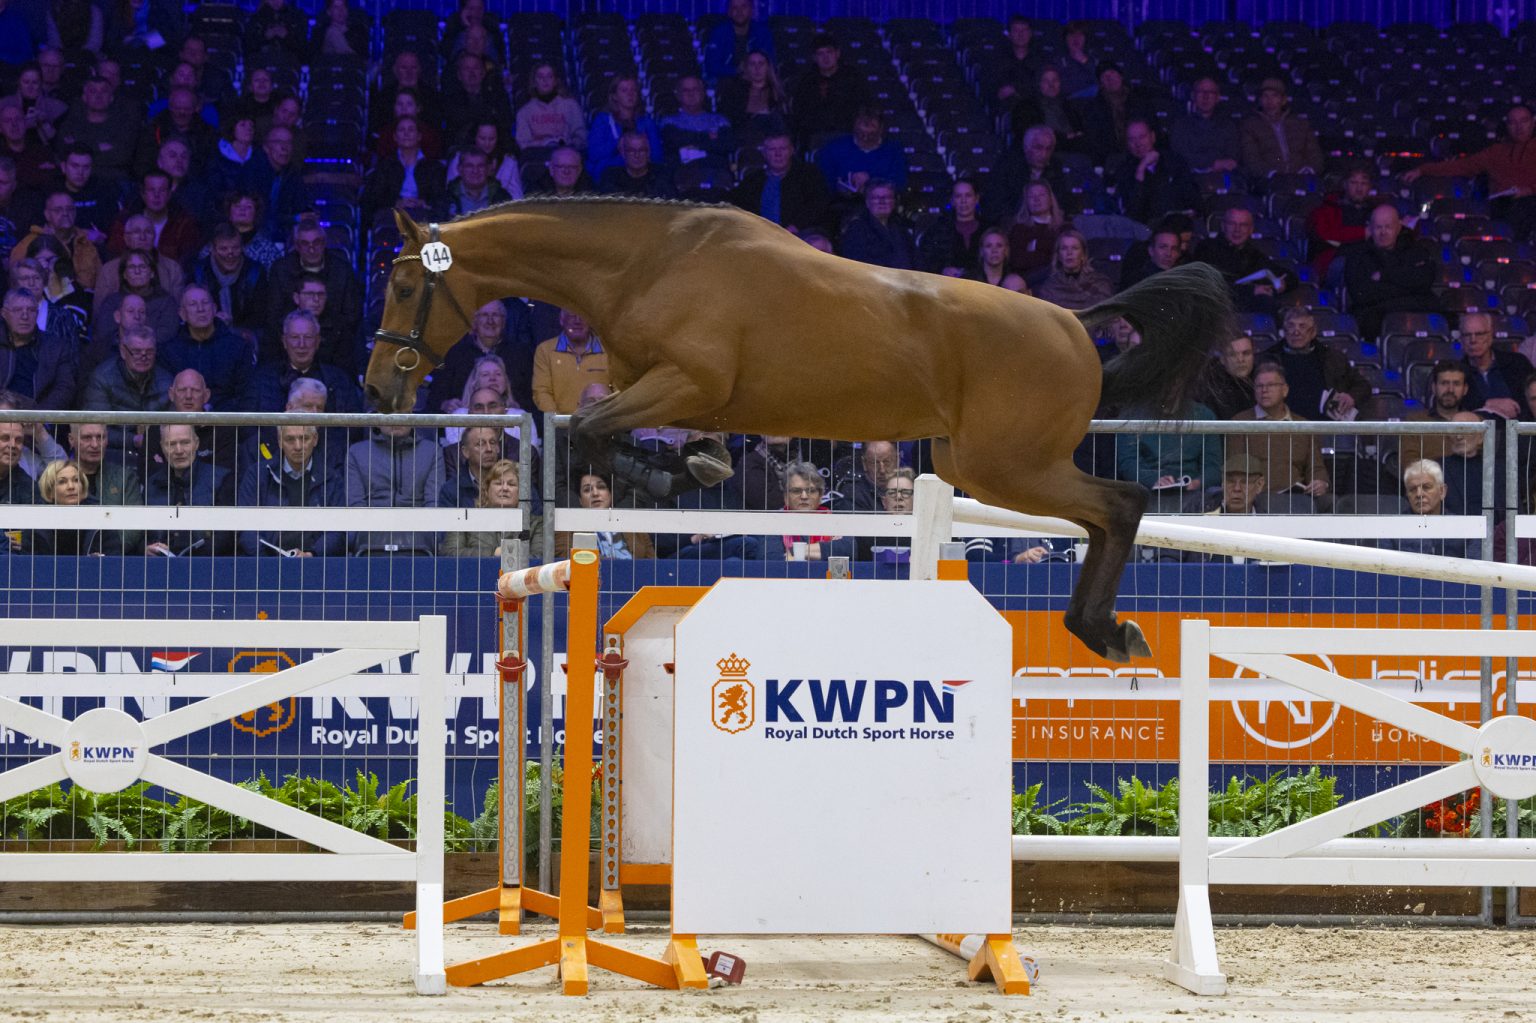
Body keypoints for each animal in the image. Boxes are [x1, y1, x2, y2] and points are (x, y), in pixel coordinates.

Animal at [366, 198, 1234, 662]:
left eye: (405, 285)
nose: (378, 386)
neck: (645, 263)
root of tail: (1076, 323)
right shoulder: (665, 392)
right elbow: (615, 434)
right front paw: (697, 465)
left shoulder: (684, 381)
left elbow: (588, 428)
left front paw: (677, 473)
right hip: (980, 464)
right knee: (1108, 511)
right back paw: (1100, 629)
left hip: (1011, 465)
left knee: (1121, 504)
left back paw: (1103, 630)